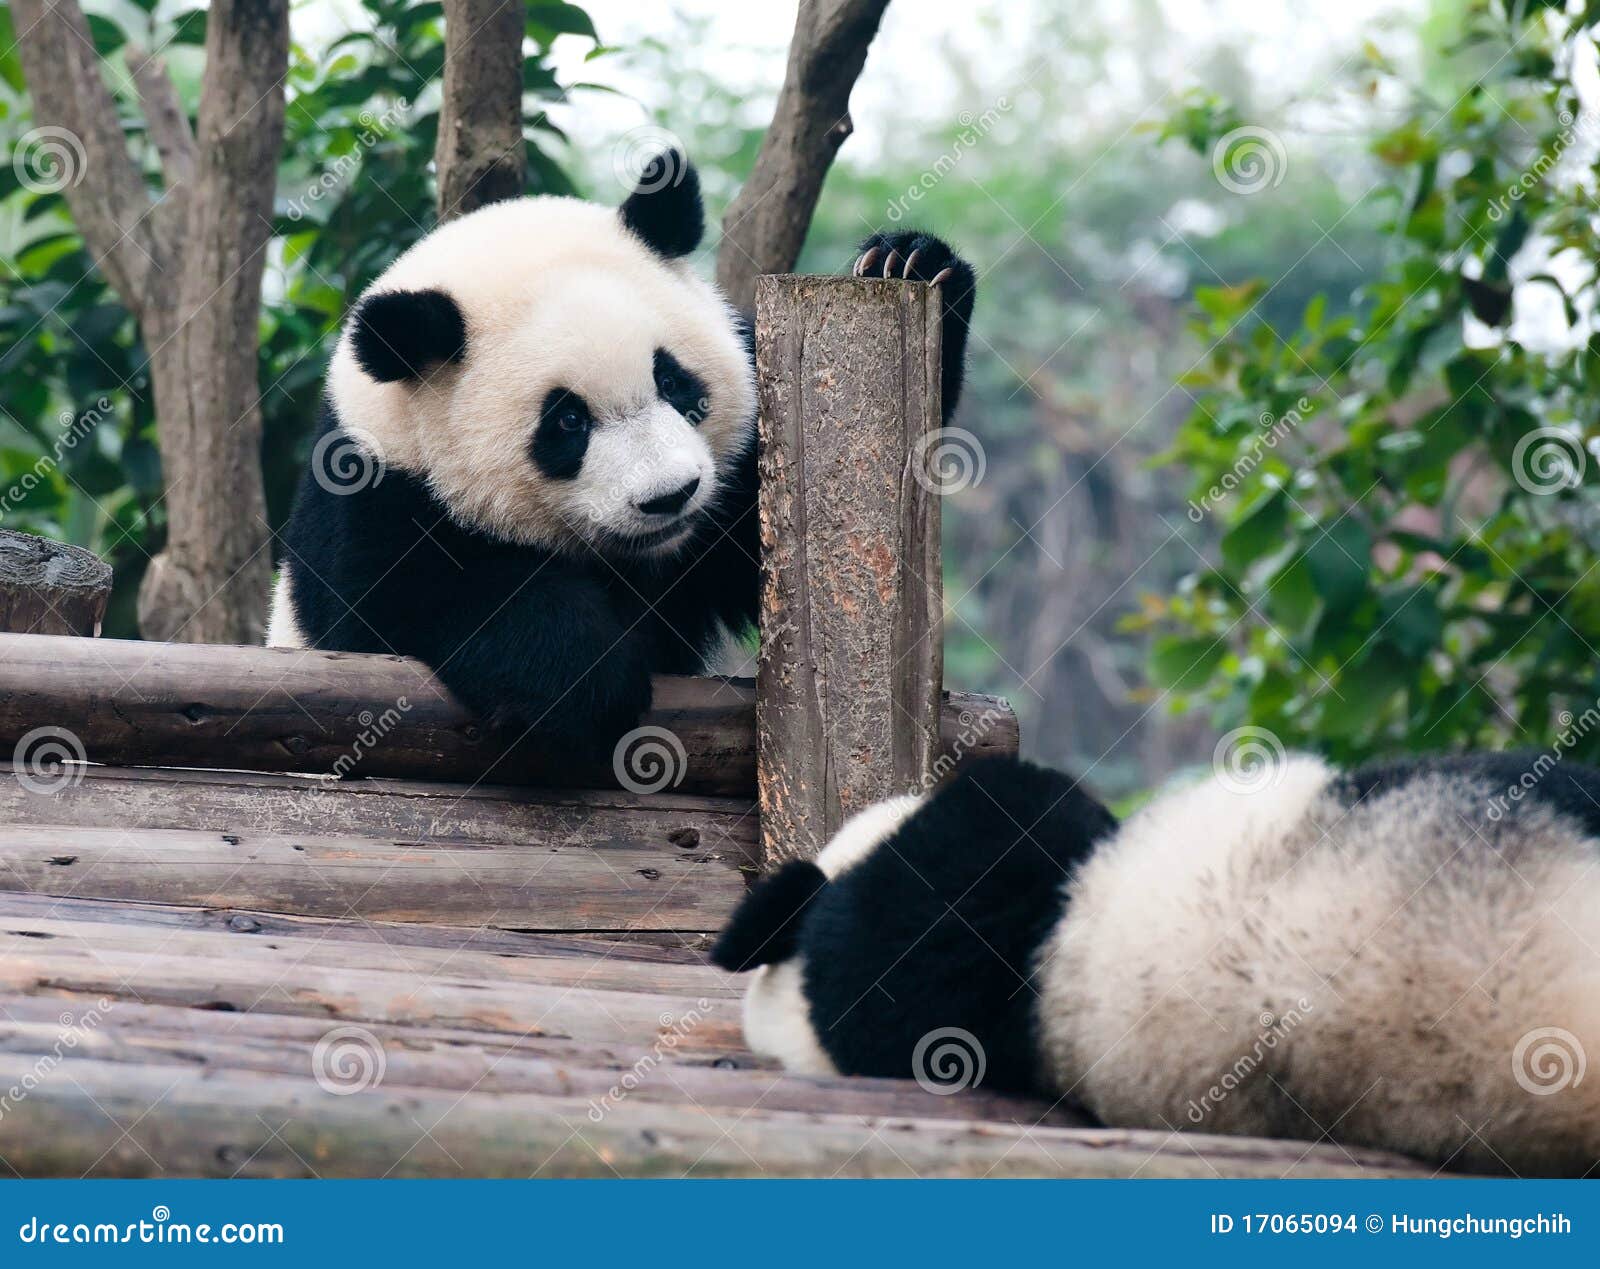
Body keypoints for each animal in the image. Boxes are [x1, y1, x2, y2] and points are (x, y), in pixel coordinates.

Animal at [267, 150, 975, 751]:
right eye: (566, 422)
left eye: (674, 382)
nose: (671, 497)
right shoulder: (374, 493)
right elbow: (407, 602)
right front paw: (579, 679)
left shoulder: (723, 507)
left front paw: (906, 261)